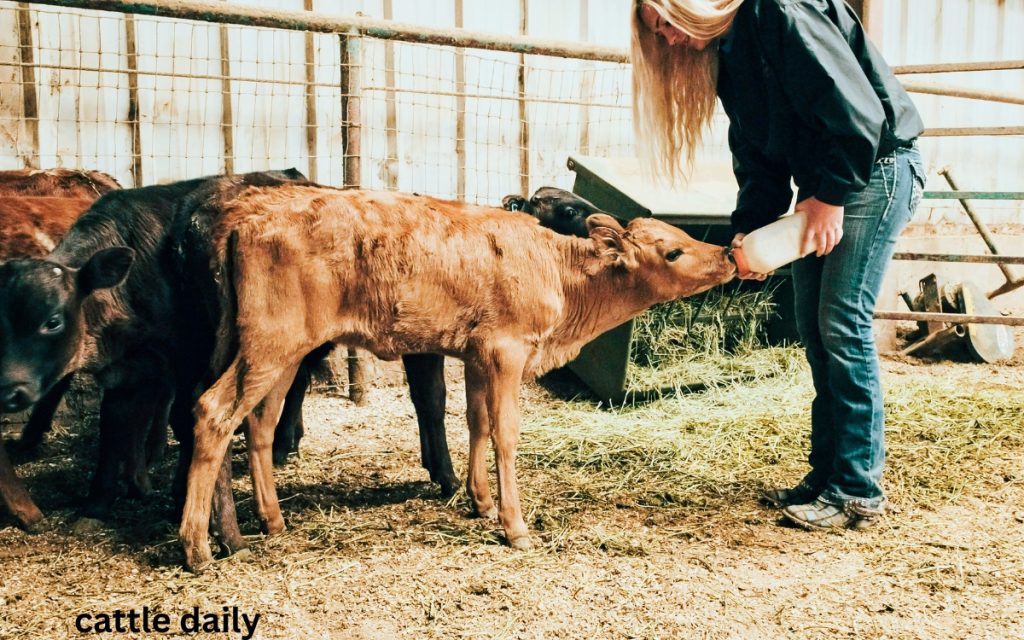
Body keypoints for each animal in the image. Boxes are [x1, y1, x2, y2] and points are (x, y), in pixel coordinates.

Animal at [175, 186, 735, 570]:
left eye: (682, 236)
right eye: (673, 251)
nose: (729, 254)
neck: (558, 270)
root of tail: (243, 219)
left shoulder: (477, 354)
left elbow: (475, 421)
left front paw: (480, 501)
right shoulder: (507, 351)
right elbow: (505, 432)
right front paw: (514, 525)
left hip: (280, 351)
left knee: (260, 424)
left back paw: (271, 519)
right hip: (271, 344)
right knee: (213, 412)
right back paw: (198, 547)